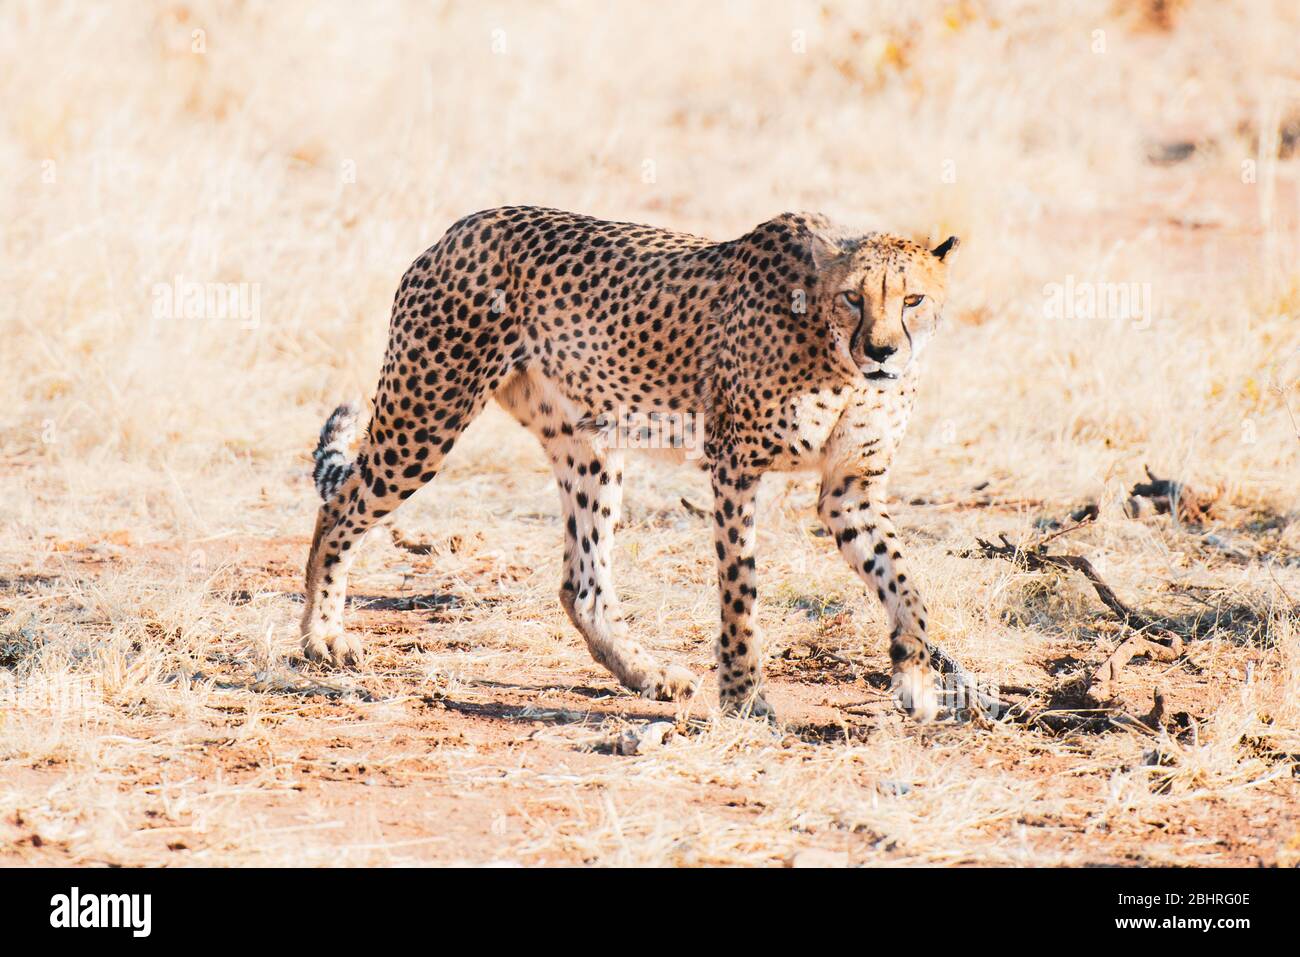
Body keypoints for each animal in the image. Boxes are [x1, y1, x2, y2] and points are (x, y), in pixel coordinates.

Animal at [302, 205, 959, 721]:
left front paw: (916, 680)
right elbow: (740, 590)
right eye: (854, 298)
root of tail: (461, 227)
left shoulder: (850, 487)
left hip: (587, 446)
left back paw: (647, 674)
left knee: (582, 584)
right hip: (425, 419)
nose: (882, 351)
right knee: (338, 509)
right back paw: (322, 637)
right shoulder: (734, 469)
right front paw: (745, 697)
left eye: (913, 299)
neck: (839, 363)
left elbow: (904, 580)